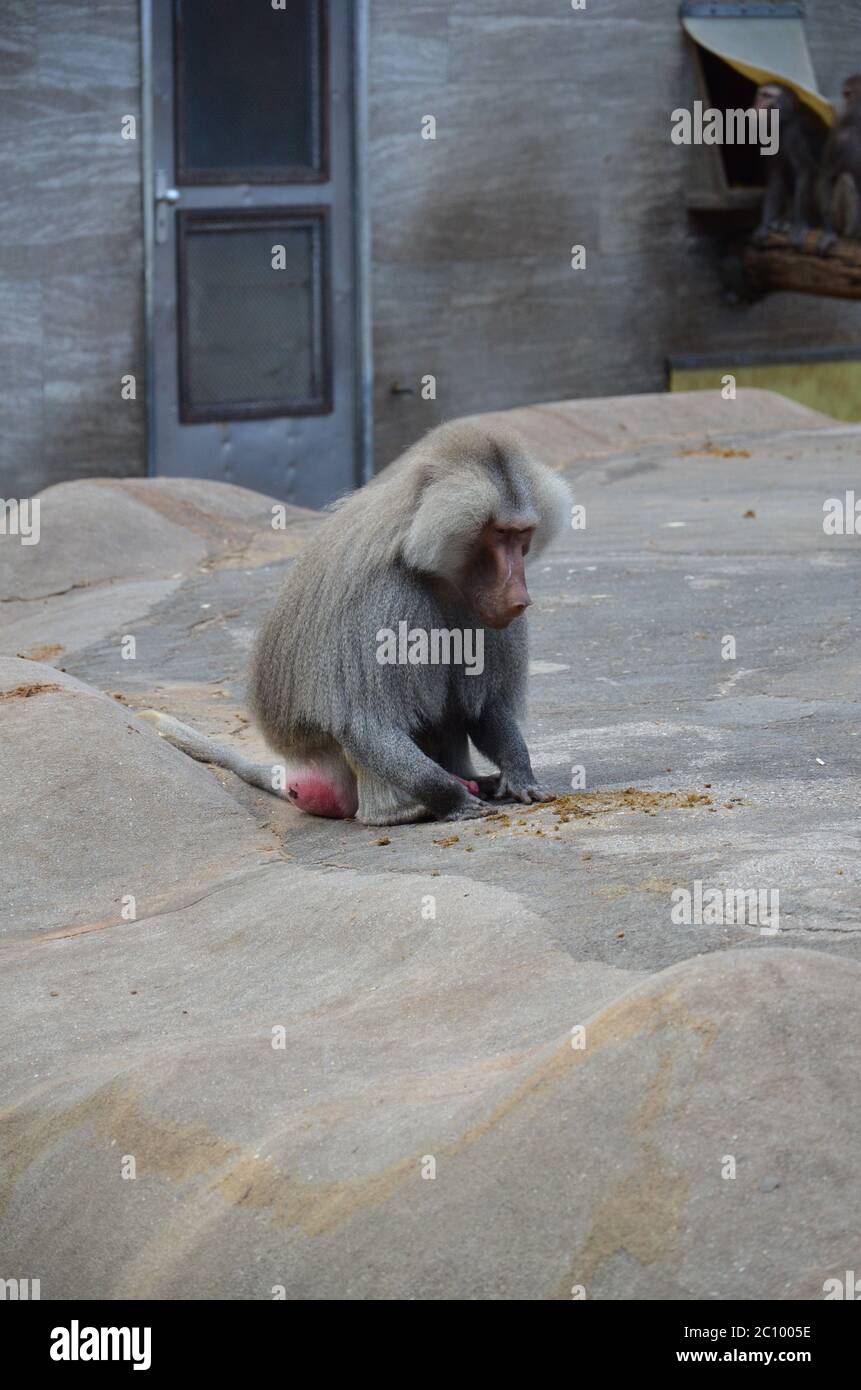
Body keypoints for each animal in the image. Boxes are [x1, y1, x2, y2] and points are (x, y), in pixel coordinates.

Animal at [140, 421, 572, 826]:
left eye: (521, 535)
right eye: (499, 534)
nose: (520, 599)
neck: (428, 564)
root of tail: (293, 773)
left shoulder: (480, 611)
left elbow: (481, 709)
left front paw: (519, 775)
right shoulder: (385, 599)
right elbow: (366, 726)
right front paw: (452, 800)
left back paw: (475, 780)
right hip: (328, 763)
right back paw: (402, 810)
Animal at [751, 83, 825, 248]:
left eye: (768, 96)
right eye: (760, 95)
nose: (757, 104)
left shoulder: (794, 134)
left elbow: (804, 171)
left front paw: (798, 224)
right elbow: (775, 177)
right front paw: (765, 224)